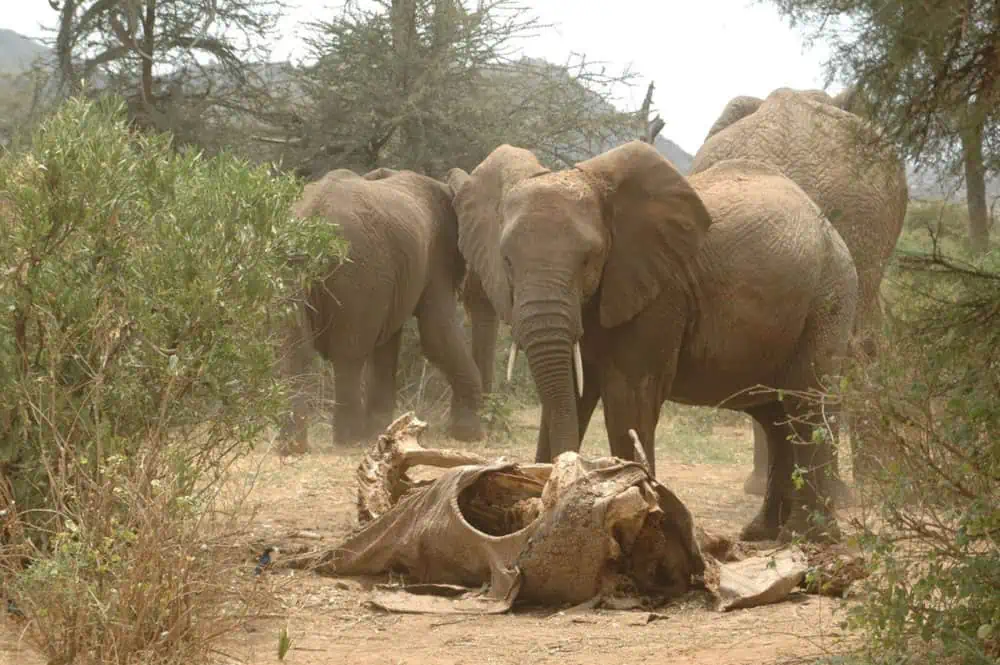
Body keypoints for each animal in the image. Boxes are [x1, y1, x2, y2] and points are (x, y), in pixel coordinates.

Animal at [278, 167, 485, 452]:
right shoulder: (436, 256)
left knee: (293, 351)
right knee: (349, 352)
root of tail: (313, 212)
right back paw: (351, 440)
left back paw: (294, 447)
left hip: (290, 269)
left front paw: (384, 432)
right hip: (357, 269)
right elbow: (436, 333)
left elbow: (388, 340)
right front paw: (470, 434)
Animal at [448, 140, 858, 543]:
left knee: (807, 404)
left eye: (589, 260)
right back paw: (763, 532)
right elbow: (571, 395)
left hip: (829, 296)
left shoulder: (660, 294)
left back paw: (807, 537)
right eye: (507, 261)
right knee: (776, 419)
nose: (547, 503)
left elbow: (629, 400)